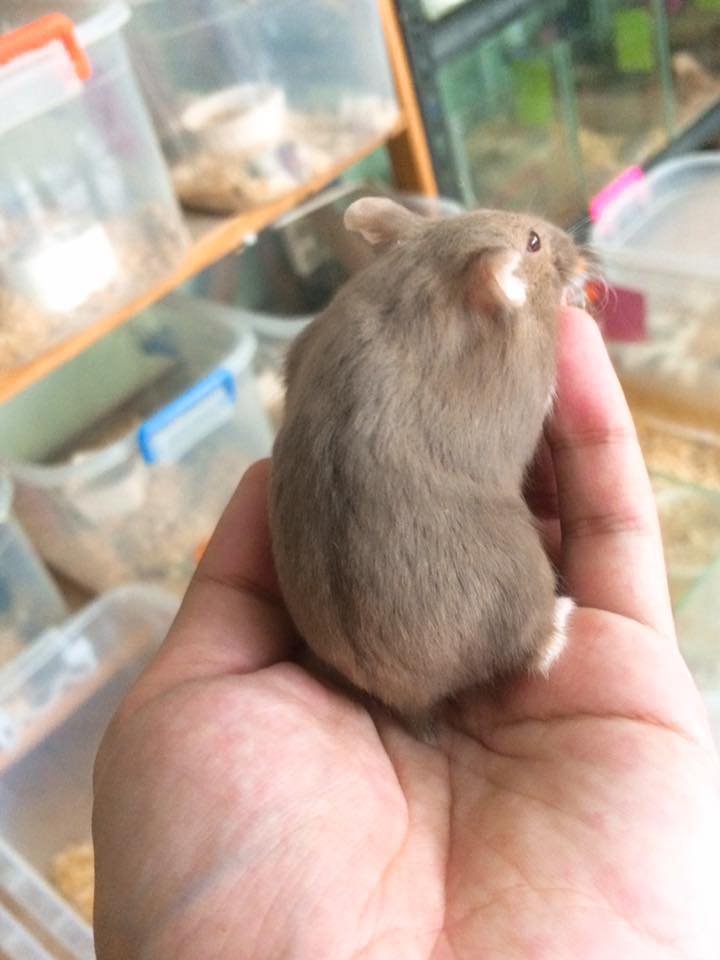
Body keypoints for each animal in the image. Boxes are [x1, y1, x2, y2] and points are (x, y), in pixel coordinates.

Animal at [268, 197, 584, 723]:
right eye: (534, 242)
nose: (580, 254)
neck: (424, 276)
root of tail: (409, 697)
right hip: (524, 576)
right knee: (535, 649)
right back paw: (562, 620)